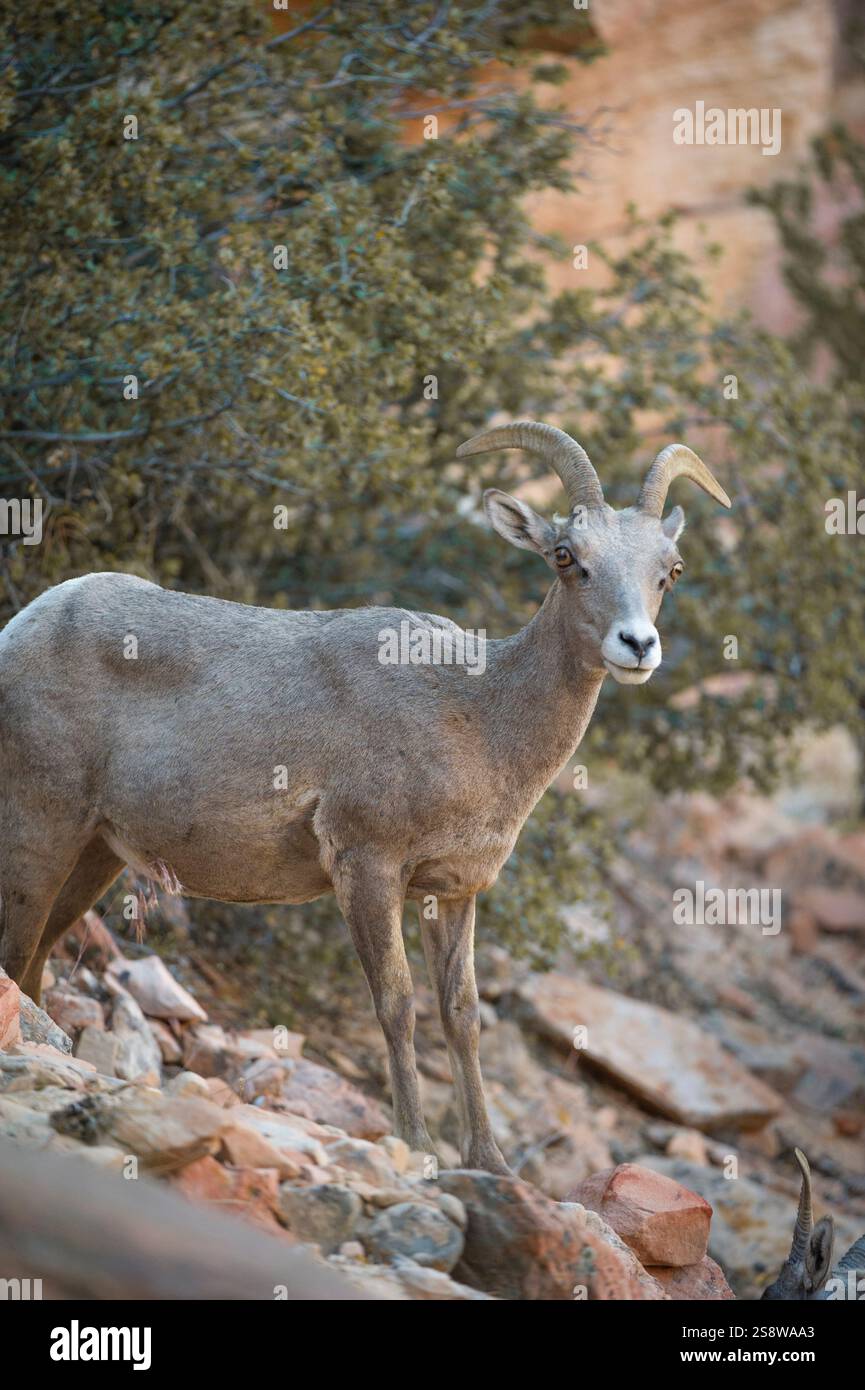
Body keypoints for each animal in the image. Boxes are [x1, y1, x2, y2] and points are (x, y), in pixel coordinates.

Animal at [0, 421, 730, 1174]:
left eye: (670, 570)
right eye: (566, 556)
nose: (637, 644)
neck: (478, 717)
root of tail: (26, 624)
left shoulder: (453, 892)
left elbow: (461, 1015)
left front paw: (490, 1162)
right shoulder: (368, 868)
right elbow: (397, 1005)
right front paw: (418, 1144)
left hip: (97, 855)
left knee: (37, 957)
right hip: (40, 827)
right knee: (16, 949)